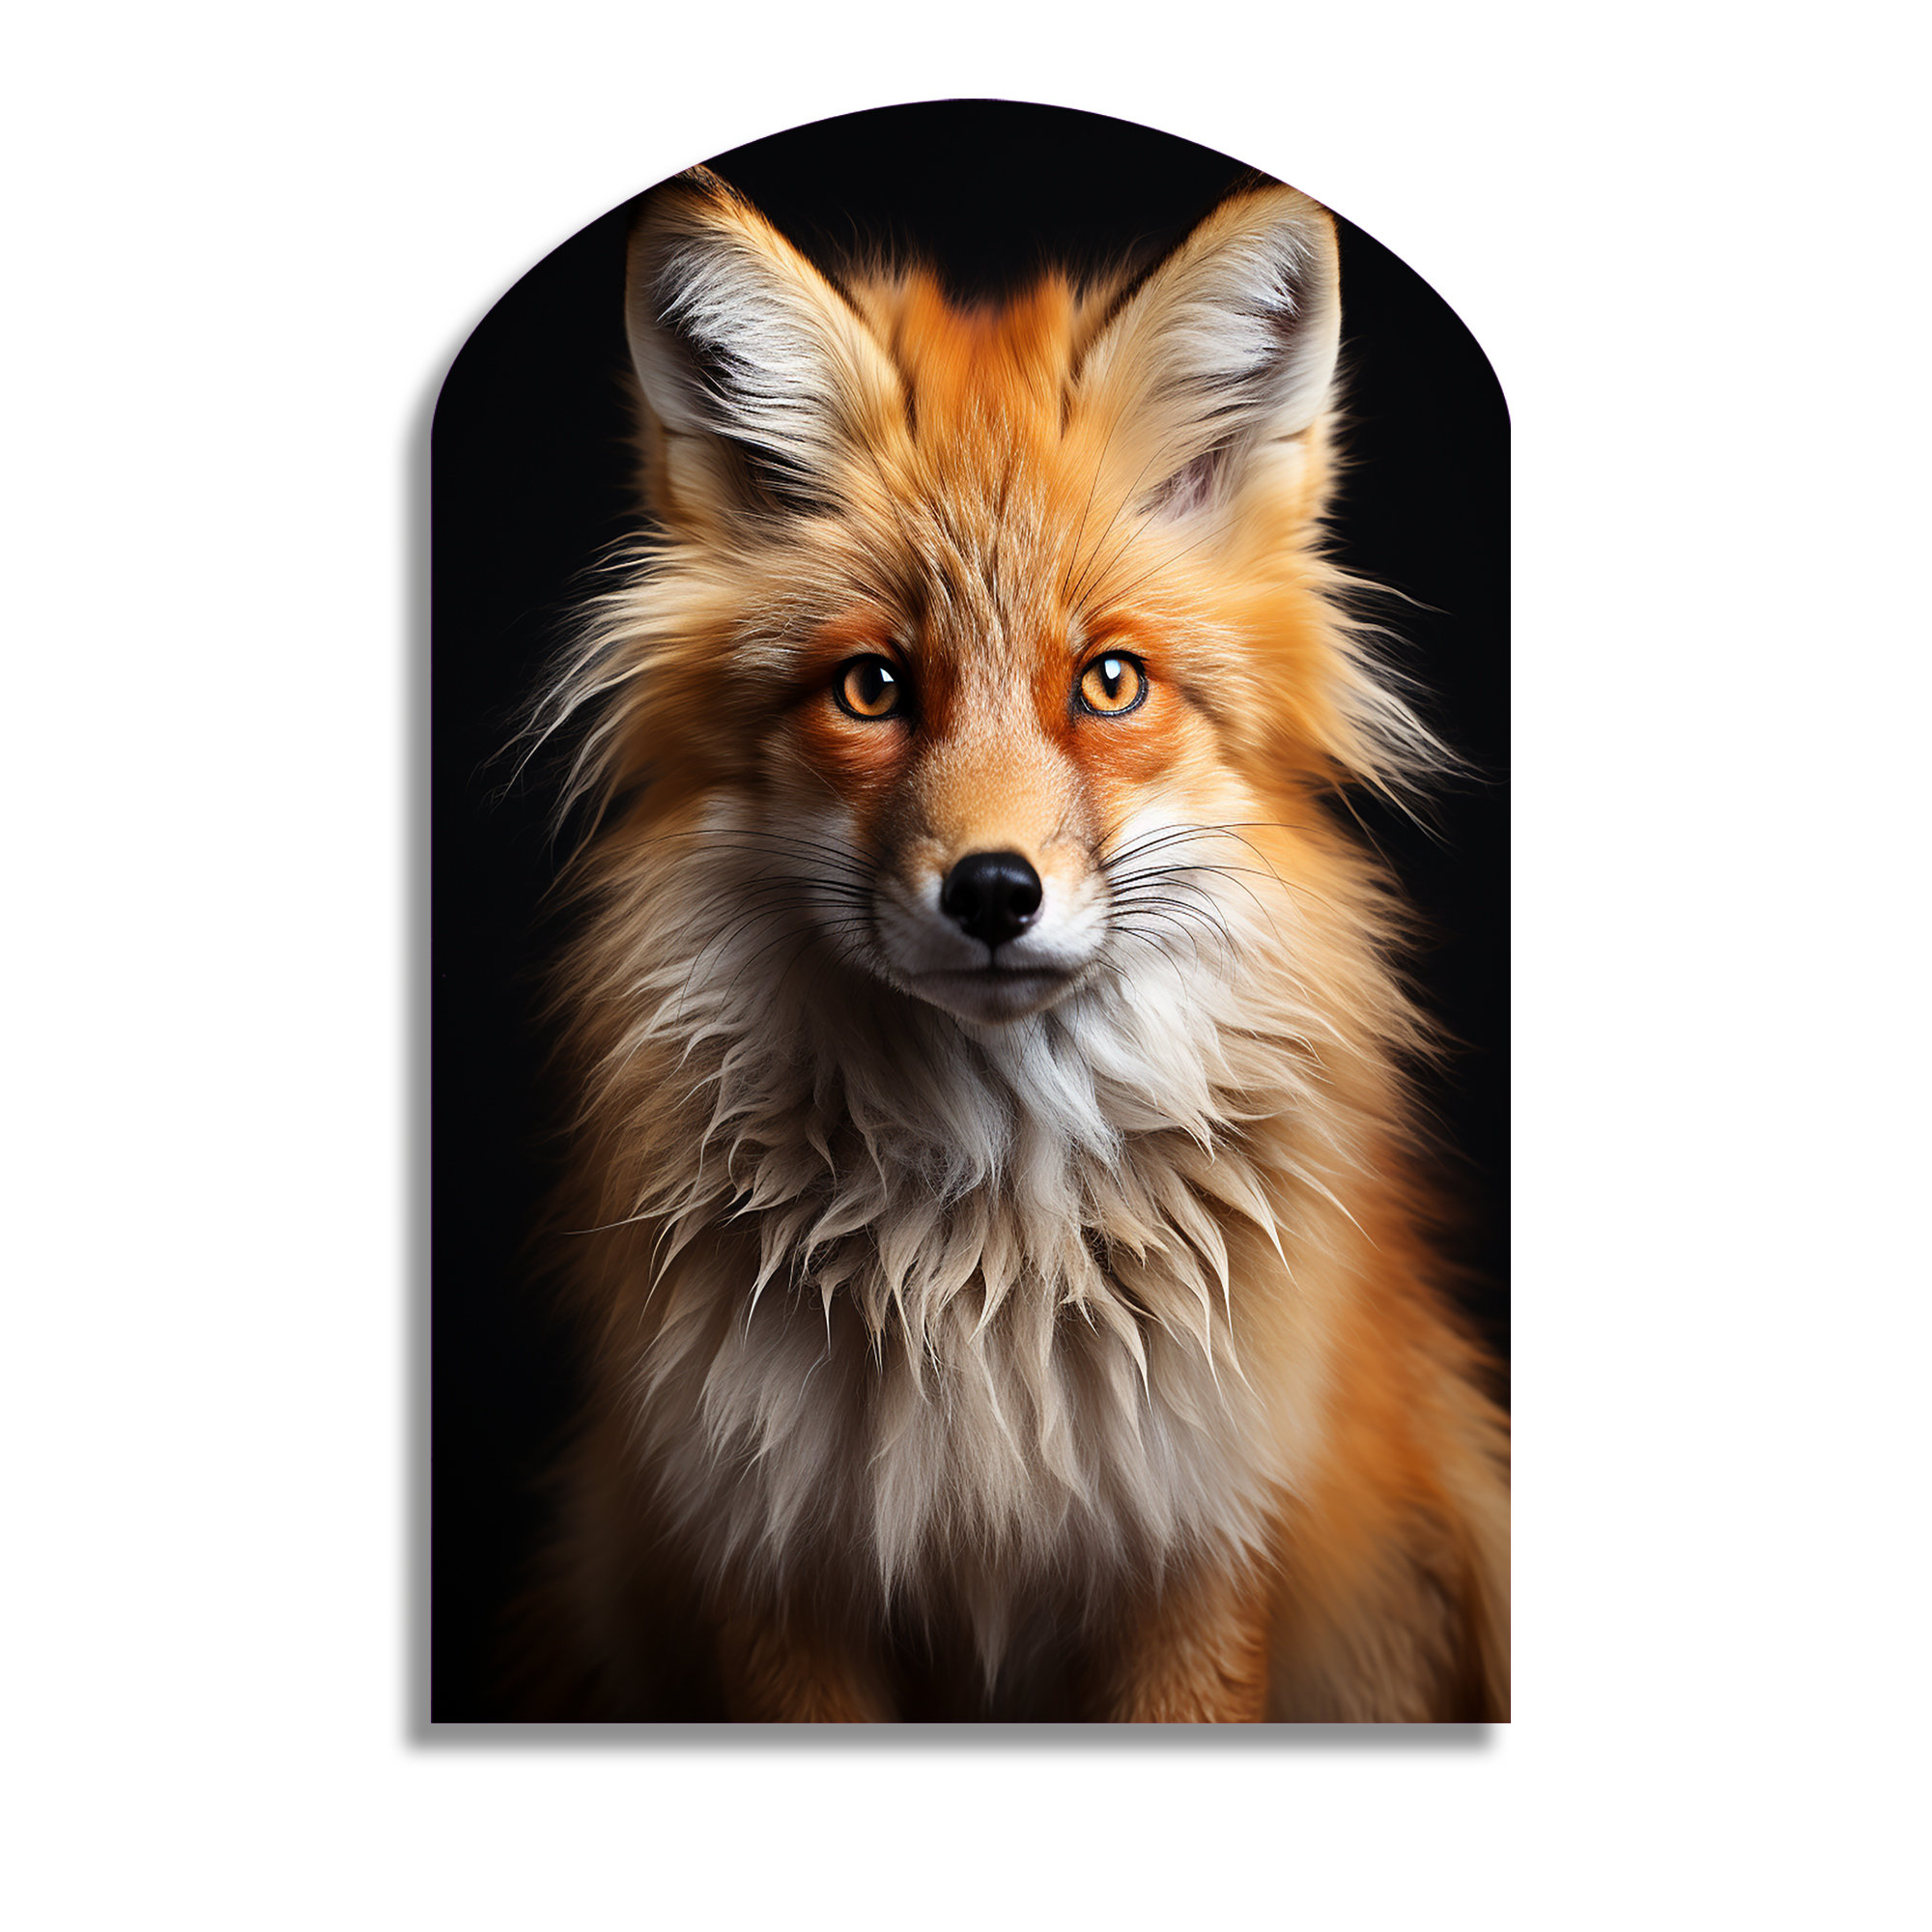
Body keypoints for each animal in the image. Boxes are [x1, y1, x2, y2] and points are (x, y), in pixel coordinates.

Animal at [512, 164, 1508, 1722]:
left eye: (1108, 682)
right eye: (872, 688)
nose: (992, 892)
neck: (985, 1273)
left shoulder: (1198, 1550)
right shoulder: (770, 1560)